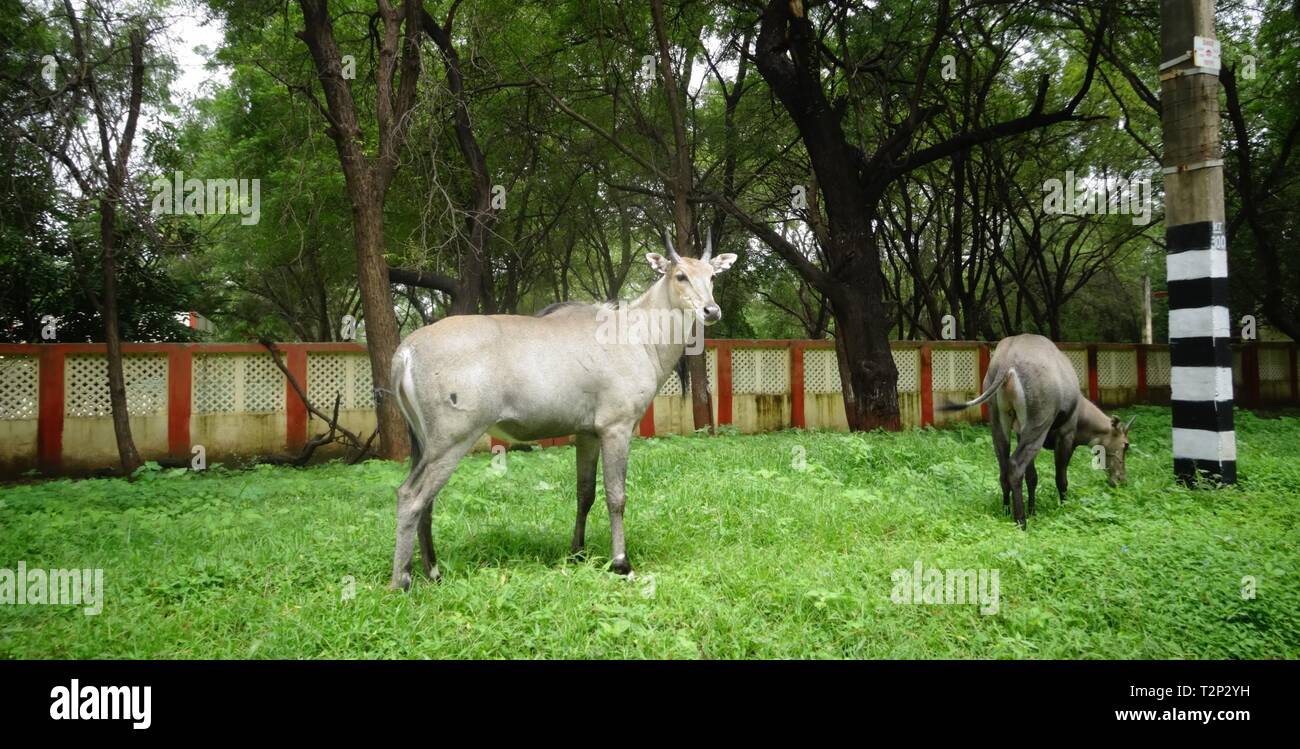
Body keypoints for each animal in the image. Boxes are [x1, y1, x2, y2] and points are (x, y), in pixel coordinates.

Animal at [386, 233, 737, 590]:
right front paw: (621, 563)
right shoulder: (616, 427)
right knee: (411, 496)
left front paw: (577, 553)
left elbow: (585, 493)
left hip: (425, 442)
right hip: (453, 439)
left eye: (712, 276)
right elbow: (616, 496)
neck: (640, 337)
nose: (711, 310)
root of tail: (406, 352)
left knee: (425, 501)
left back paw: (433, 572)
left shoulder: (587, 433)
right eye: (680, 275)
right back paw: (402, 580)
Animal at [942, 334, 1135, 528]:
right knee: (1015, 465)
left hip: (1000, 423)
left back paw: (1006, 512)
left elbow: (1032, 477)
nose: (1121, 480)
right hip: (1038, 427)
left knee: (1004, 467)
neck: (1081, 411)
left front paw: (1033, 512)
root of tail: (1007, 360)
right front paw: (1064, 508)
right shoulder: (1066, 435)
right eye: (1125, 445)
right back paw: (1020, 521)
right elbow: (1061, 478)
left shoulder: (1021, 433)